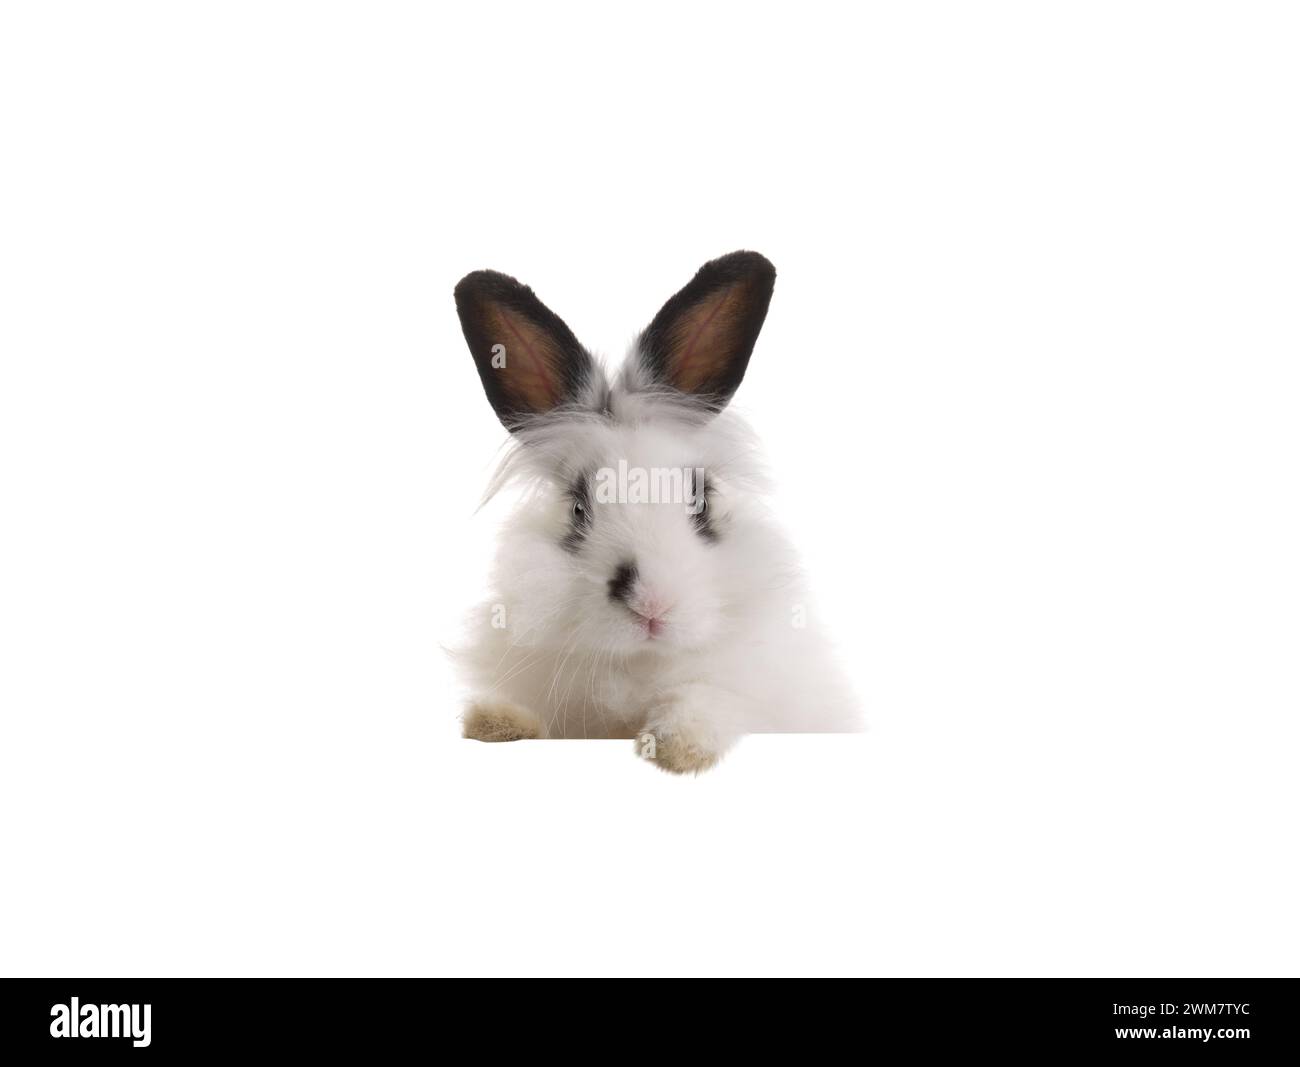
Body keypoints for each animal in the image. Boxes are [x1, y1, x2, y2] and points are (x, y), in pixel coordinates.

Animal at [451, 251, 859, 774]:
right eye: (579, 508)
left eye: (701, 501)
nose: (652, 605)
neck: (638, 666)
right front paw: (497, 723)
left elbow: (707, 698)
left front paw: (676, 746)